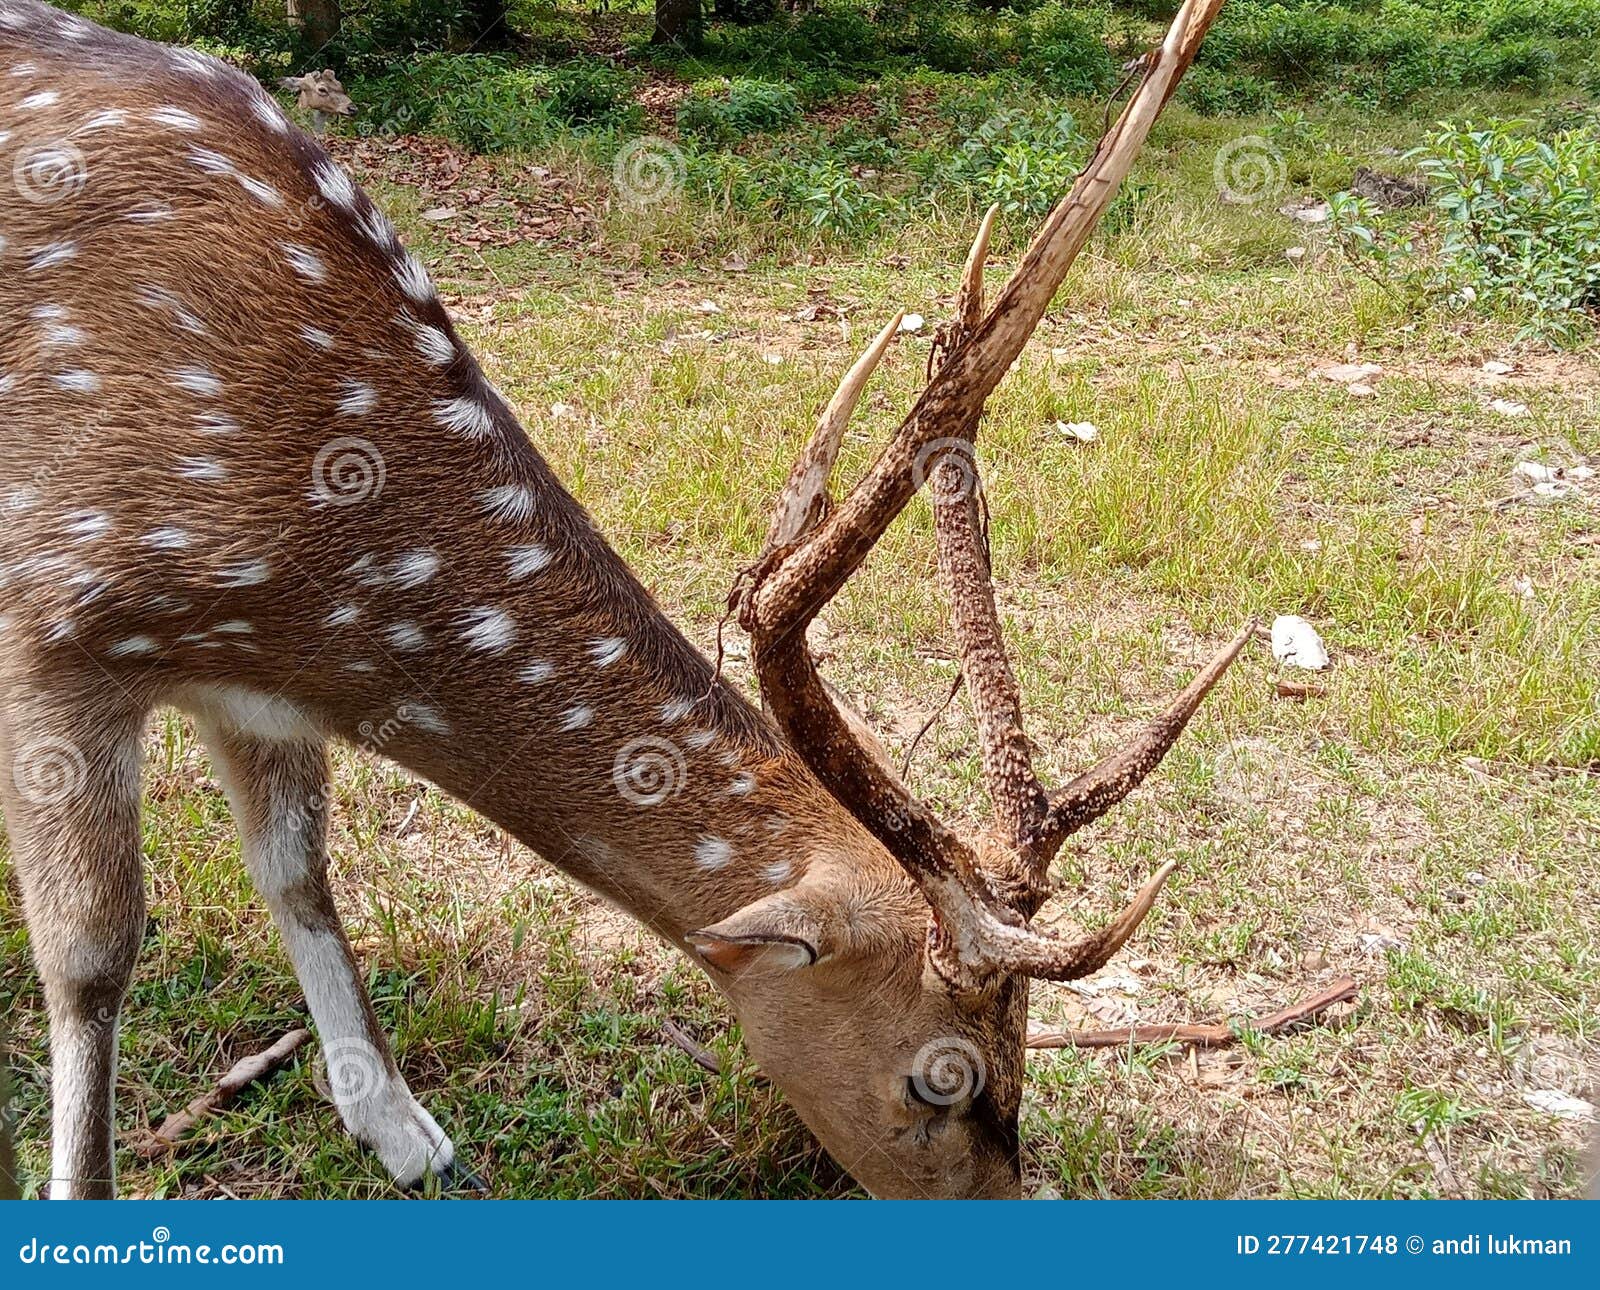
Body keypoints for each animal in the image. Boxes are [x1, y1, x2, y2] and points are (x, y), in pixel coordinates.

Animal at [0, 0, 1240, 1199]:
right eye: (941, 1078)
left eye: (1024, 1061)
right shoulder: (55, 620)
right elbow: (94, 956)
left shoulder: (258, 694)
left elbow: (298, 872)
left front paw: (405, 1132)